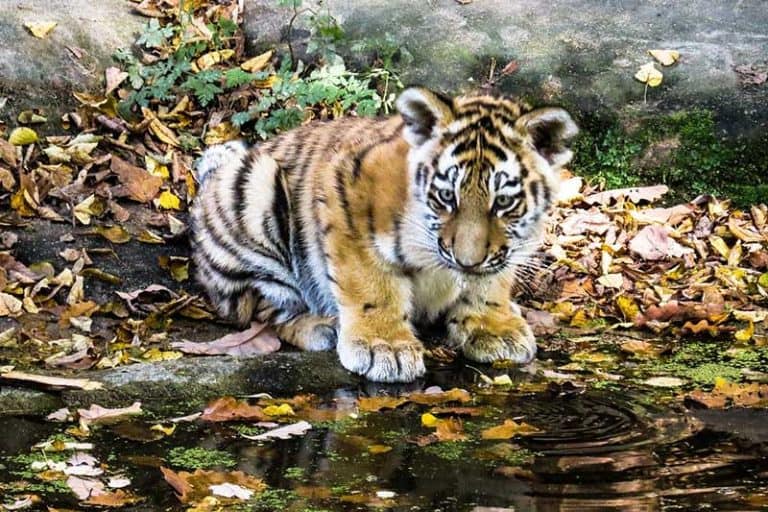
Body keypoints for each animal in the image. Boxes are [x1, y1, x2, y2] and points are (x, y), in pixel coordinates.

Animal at [190, 86, 577, 383]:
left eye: (503, 202)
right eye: (446, 197)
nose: (467, 261)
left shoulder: (504, 250)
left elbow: (489, 282)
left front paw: (494, 328)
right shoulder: (344, 196)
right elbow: (371, 285)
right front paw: (385, 348)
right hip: (254, 187)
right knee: (260, 308)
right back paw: (321, 326)